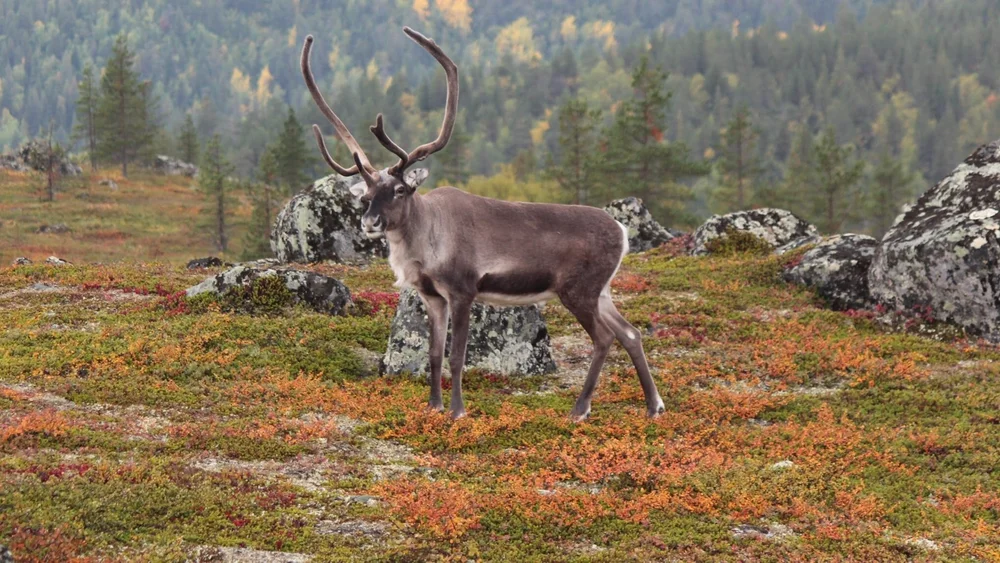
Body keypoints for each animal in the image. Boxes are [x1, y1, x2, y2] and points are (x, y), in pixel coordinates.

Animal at [301, 28, 665, 422]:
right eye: (365, 196)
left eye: (399, 190)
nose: (370, 222)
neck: (425, 244)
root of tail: (623, 232)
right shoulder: (432, 296)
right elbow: (433, 354)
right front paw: (432, 406)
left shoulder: (463, 290)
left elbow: (457, 357)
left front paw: (457, 410)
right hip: (602, 291)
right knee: (631, 333)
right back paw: (653, 405)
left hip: (578, 290)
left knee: (605, 337)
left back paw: (580, 409)